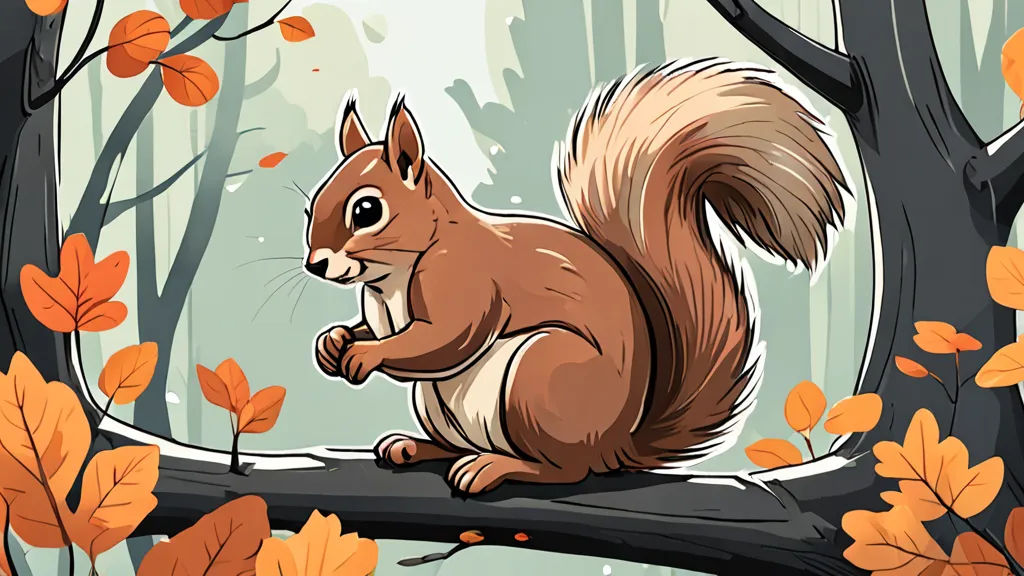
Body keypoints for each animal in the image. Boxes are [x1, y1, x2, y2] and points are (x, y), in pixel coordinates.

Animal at [305, 59, 847, 494]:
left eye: (368, 210)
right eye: (312, 204)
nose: (315, 263)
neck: (389, 280)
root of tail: (616, 445)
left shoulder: (465, 279)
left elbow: (443, 338)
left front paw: (365, 354)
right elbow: (376, 331)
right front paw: (333, 342)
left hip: (541, 377)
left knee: (566, 470)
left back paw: (494, 467)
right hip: (441, 402)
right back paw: (414, 447)